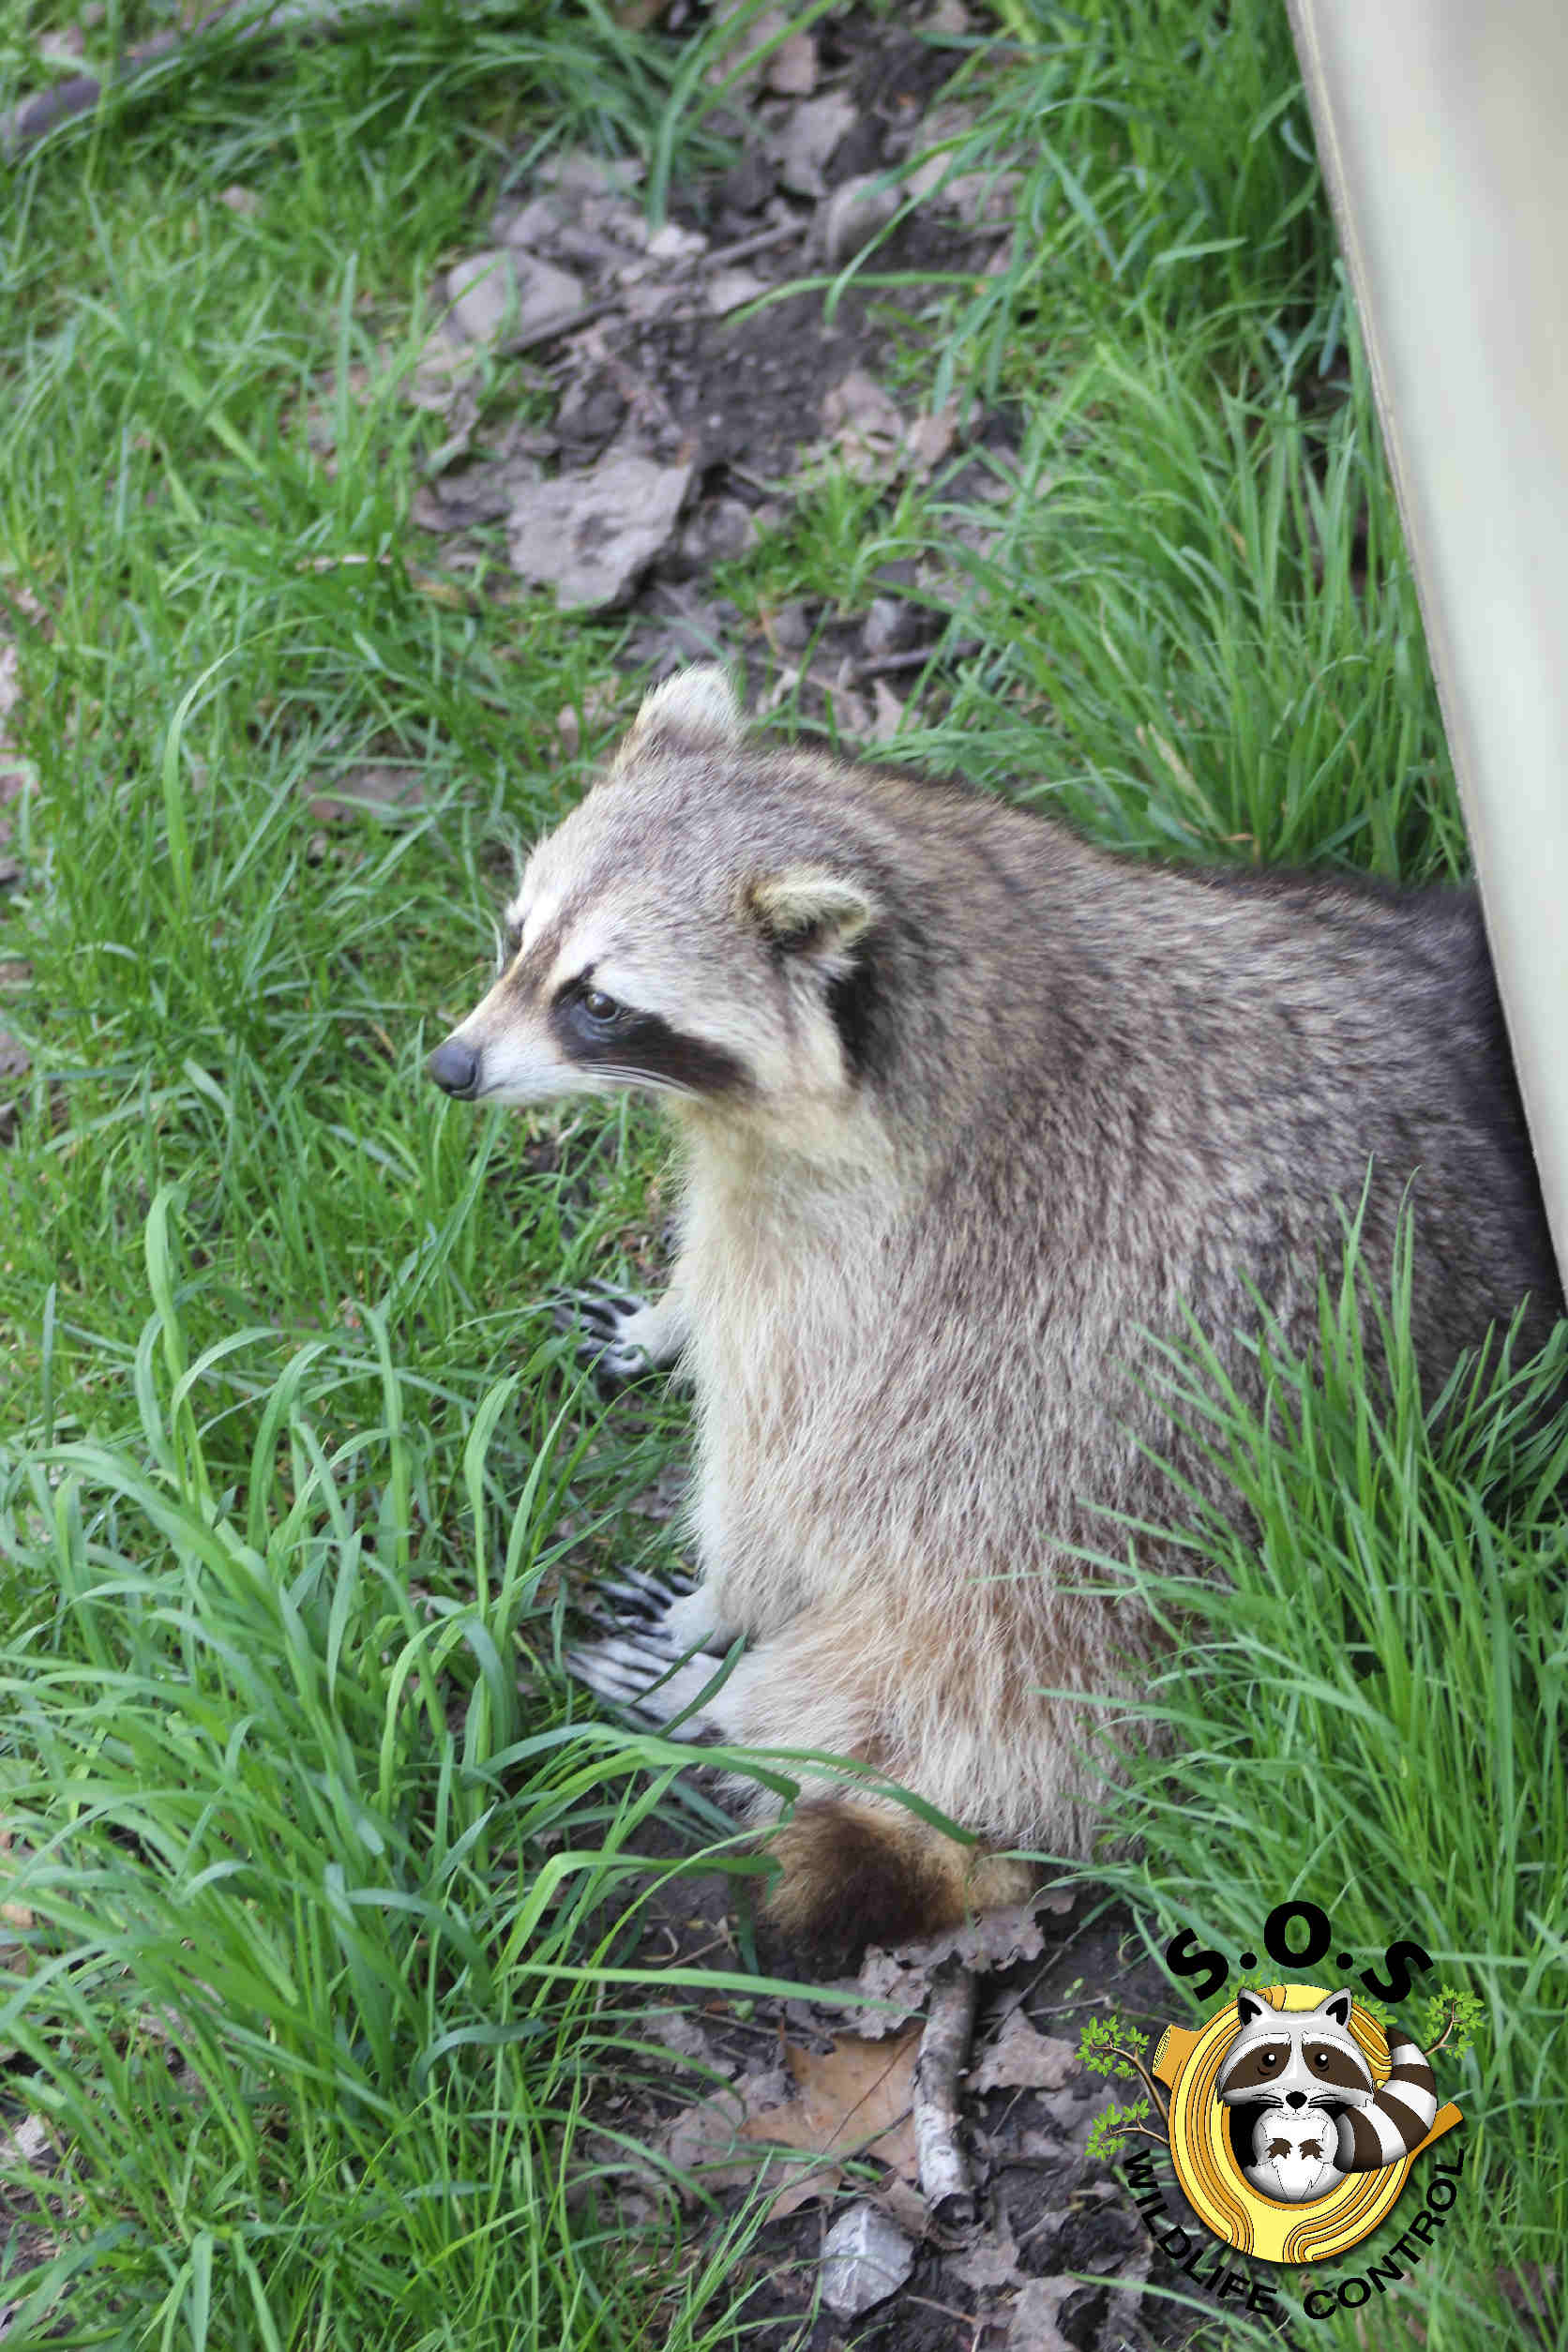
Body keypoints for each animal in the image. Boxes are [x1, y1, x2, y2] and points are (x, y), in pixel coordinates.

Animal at [427, 667, 1562, 1968]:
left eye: (599, 1005)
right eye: (518, 938)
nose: (451, 1069)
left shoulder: (880, 1278)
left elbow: (783, 1480)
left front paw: (722, 1614)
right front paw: (669, 1320)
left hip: (1104, 1588)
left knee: (956, 1662)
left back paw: (736, 1716)